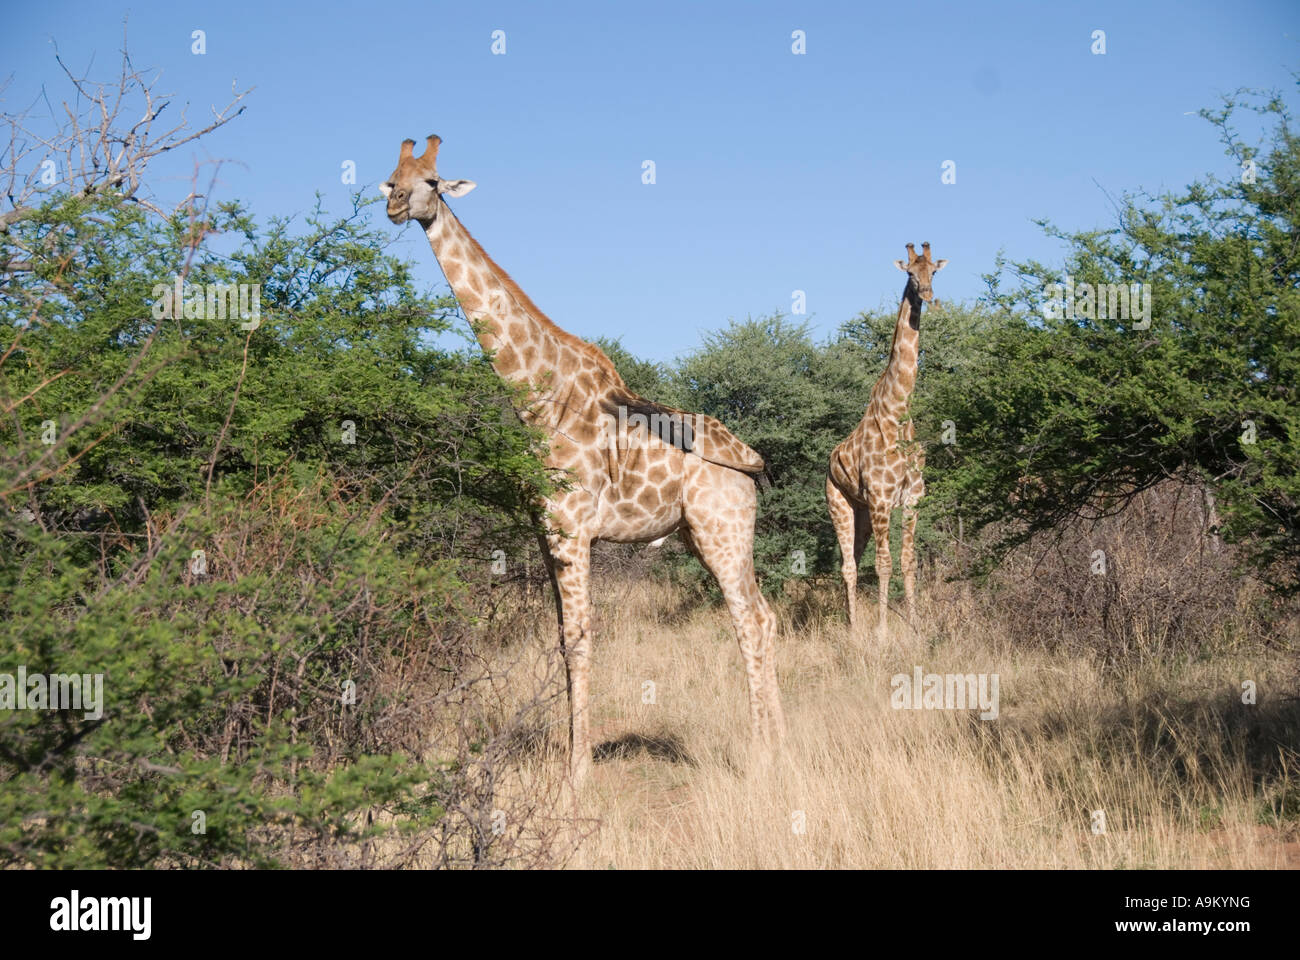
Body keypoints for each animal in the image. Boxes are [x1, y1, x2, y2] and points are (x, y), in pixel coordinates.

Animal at [381, 135, 784, 784]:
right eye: (390, 178)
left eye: (433, 182)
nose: (395, 205)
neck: (538, 398)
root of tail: (755, 466)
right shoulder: (547, 533)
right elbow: (561, 637)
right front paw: (574, 761)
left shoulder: (574, 530)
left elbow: (581, 638)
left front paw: (579, 773)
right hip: (706, 535)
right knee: (765, 616)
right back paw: (782, 743)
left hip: (721, 530)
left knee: (748, 619)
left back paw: (761, 753)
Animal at [826, 242, 946, 638]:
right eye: (910, 272)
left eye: (933, 271)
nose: (927, 294)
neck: (897, 413)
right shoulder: (880, 499)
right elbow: (884, 564)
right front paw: (882, 631)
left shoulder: (912, 499)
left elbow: (908, 562)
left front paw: (916, 626)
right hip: (840, 504)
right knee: (848, 565)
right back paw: (854, 629)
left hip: (862, 513)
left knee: (854, 560)